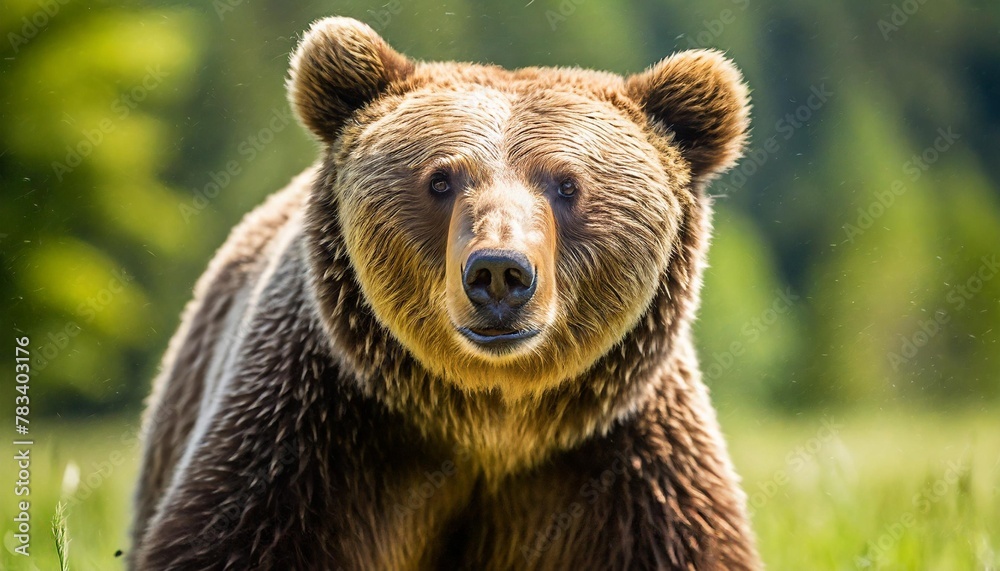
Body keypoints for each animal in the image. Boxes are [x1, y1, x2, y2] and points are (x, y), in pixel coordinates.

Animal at [131, 16, 759, 571]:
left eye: (567, 184)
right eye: (440, 179)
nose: (499, 272)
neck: (489, 424)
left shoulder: (632, 474)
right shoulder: (306, 438)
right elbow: (233, 536)